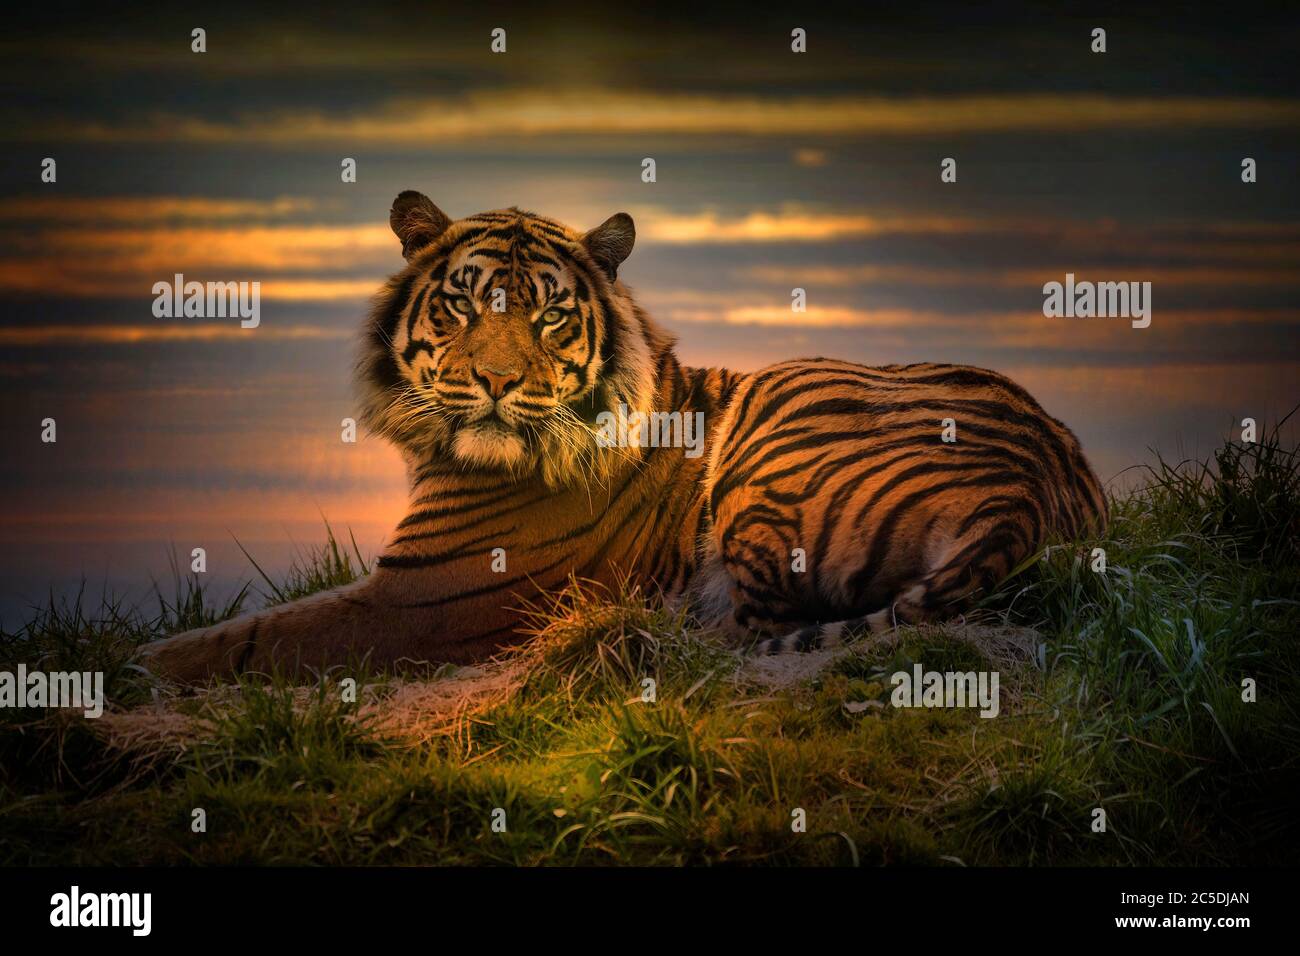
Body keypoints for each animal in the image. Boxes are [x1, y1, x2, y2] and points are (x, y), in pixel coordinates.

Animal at [138, 191, 1108, 683]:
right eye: (463, 303)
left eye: (551, 314)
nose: (497, 384)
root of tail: (1037, 492)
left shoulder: (417, 599)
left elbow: (245, 639)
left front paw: (124, 674)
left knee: (749, 633)